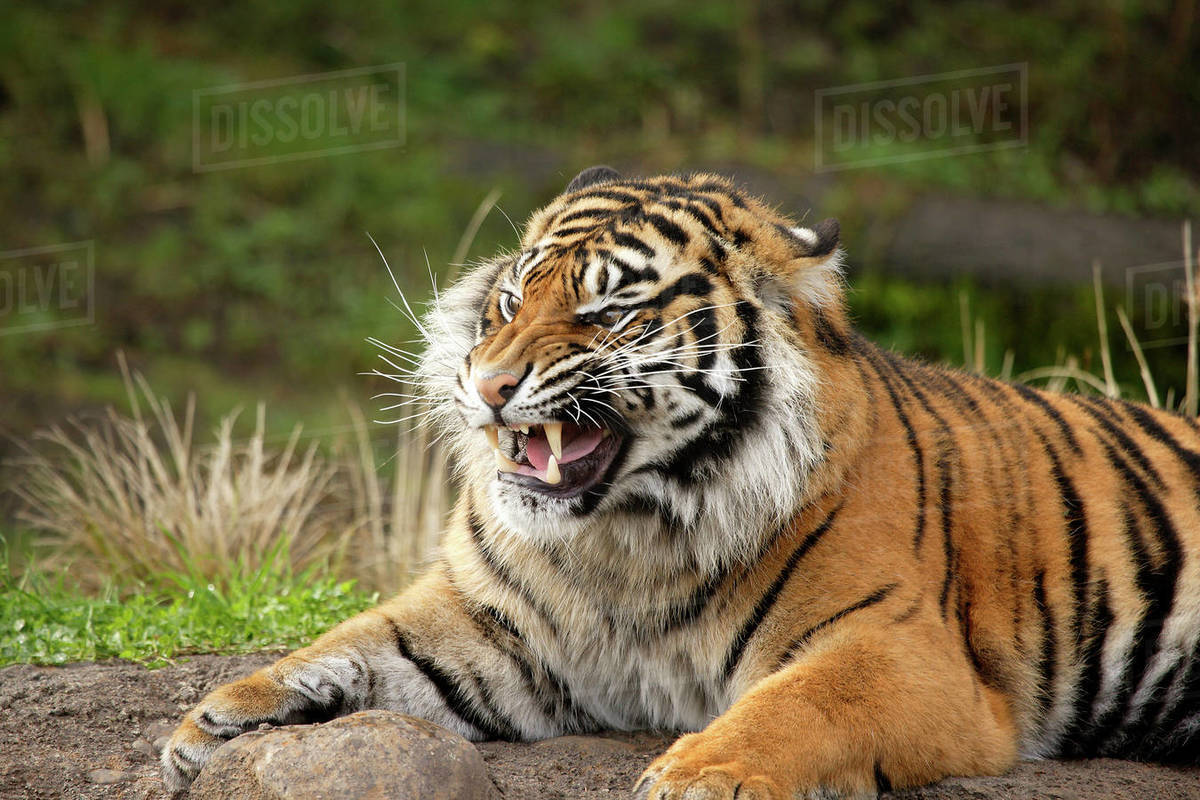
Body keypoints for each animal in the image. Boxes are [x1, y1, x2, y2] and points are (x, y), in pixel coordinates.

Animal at [163, 166, 1200, 799]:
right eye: (510, 300)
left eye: (606, 311)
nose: (486, 385)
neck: (626, 540)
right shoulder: (497, 630)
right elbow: (358, 645)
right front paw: (214, 721)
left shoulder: (899, 648)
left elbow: (797, 704)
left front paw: (700, 775)